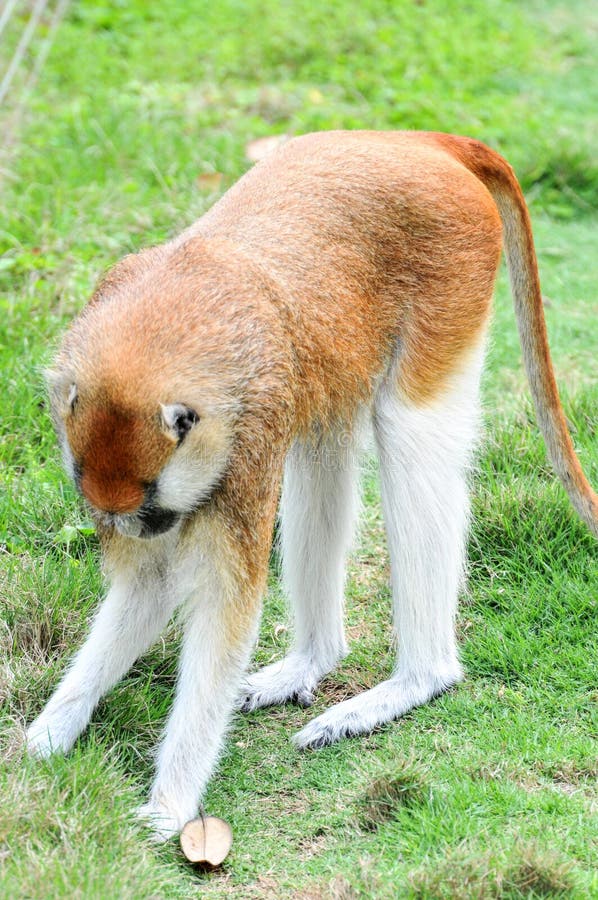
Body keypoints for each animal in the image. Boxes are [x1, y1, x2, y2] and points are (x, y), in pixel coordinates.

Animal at [26, 131, 597, 840]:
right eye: (130, 517)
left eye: (154, 505)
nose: (150, 528)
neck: (173, 317)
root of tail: (420, 141)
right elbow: (150, 585)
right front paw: (49, 734)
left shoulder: (250, 427)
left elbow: (224, 605)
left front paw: (170, 806)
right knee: (324, 449)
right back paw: (313, 660)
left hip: (456, 265)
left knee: (409, 432)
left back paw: (416, 680)